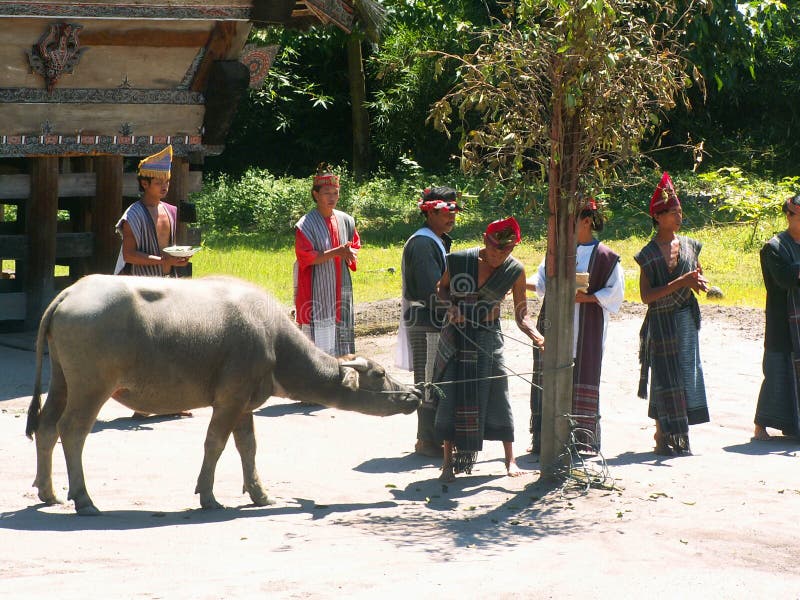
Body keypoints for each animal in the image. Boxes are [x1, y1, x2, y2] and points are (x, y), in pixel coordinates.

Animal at [26, 276, 418, 516]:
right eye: (380, 374)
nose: (413, 394)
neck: (273, 340)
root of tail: (69, 294)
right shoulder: (229, 399)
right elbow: (215, 443)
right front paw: (209, 495)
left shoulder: (244, 403)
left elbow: (248, 446)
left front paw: (260, 493)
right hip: (91, 387)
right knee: (72, 431)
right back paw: (83, 498)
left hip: (61, 381)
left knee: (46, 428)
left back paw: (48, 491)